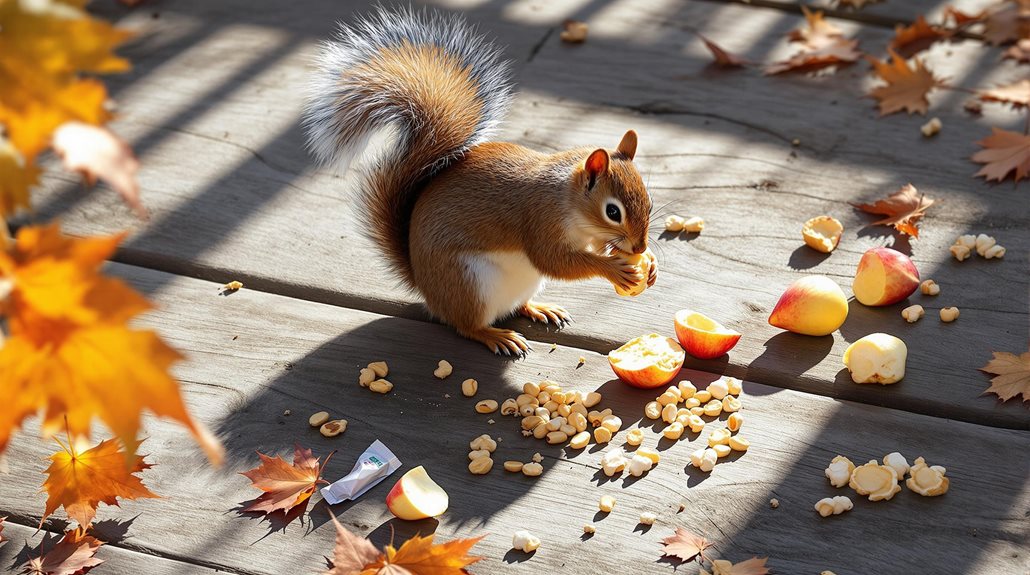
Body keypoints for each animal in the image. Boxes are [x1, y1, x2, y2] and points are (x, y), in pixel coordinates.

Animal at [303, 8, 656, 356]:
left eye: (650, 203)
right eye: (613, 212)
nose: (639, 246)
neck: (569, 201)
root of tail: (427, 289)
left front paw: (646, 264)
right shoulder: (540, 221)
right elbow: (555, 261)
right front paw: (613, 267)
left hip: (520, 283)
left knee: (516, 305)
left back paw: (539, 308)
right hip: (469, 283)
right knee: (466, 326)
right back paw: (496, 336)